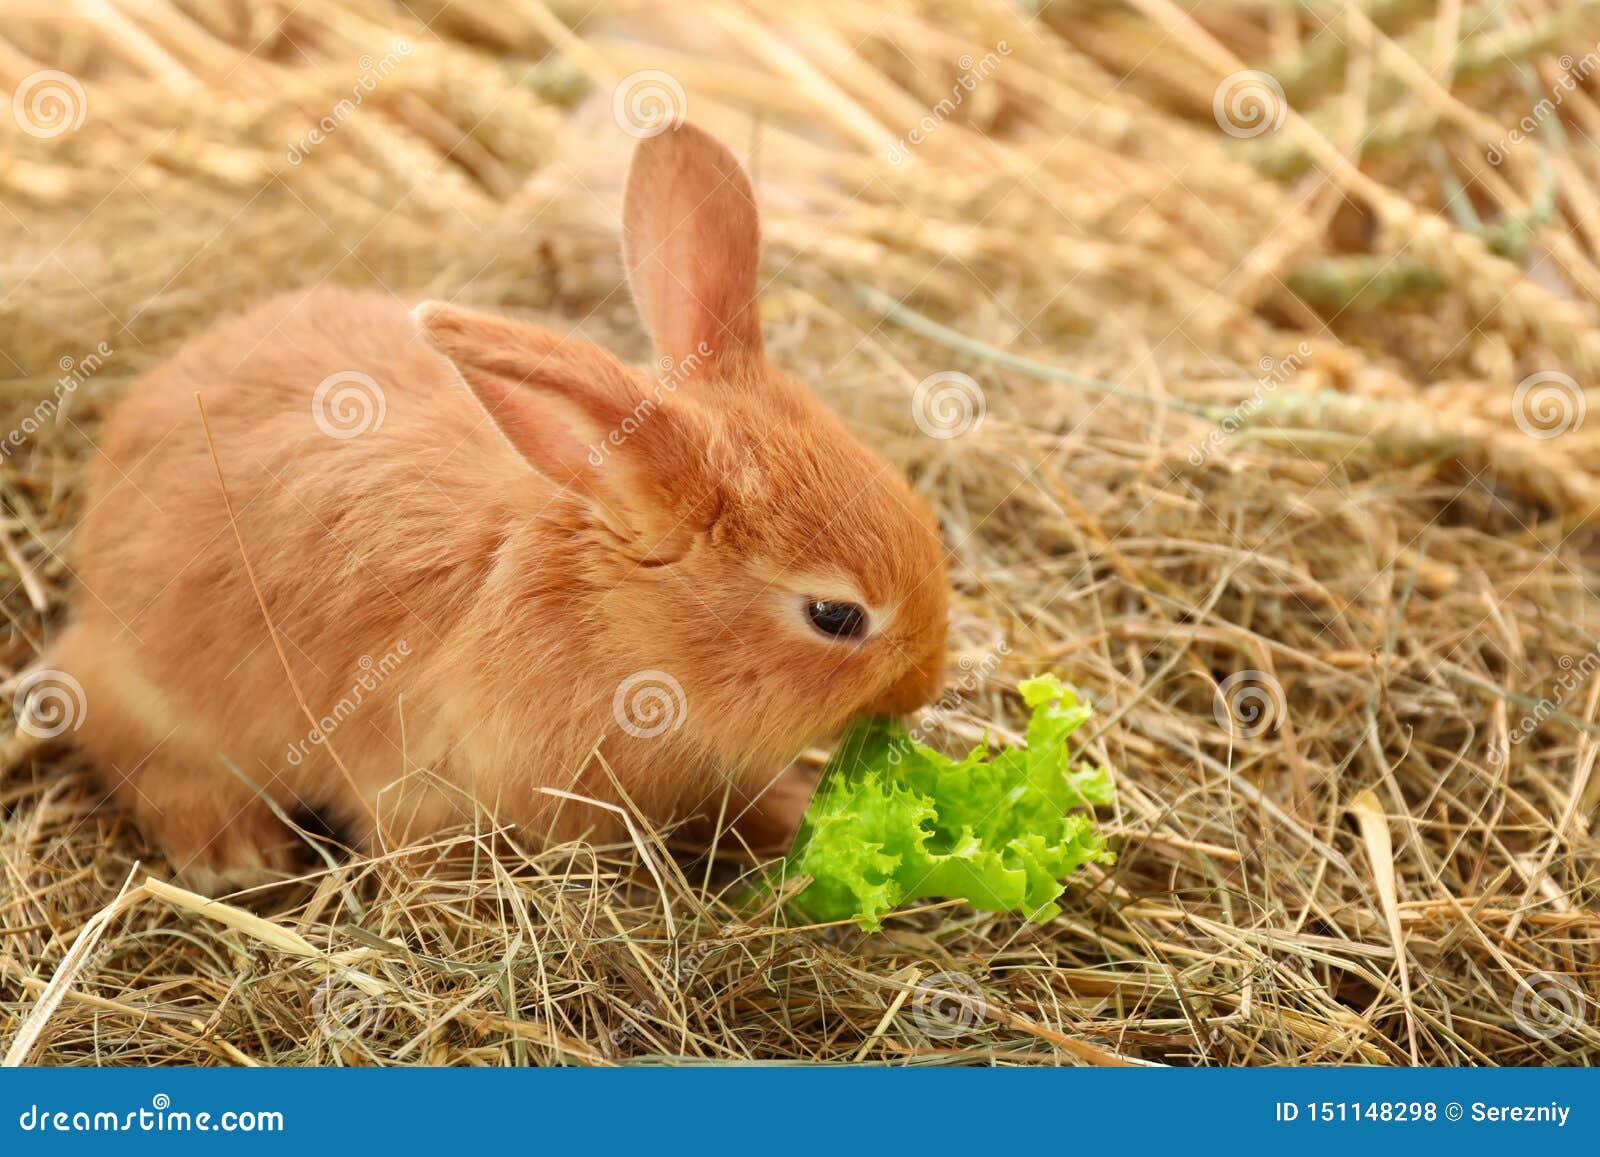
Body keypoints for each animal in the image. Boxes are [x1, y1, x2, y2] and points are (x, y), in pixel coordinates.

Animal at [48, 122, 948, 895]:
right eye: (835, 615)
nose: (926, 683)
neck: (621, 623)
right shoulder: (422, 784)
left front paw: (796, 818)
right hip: (161, 699)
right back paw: (234, 855)